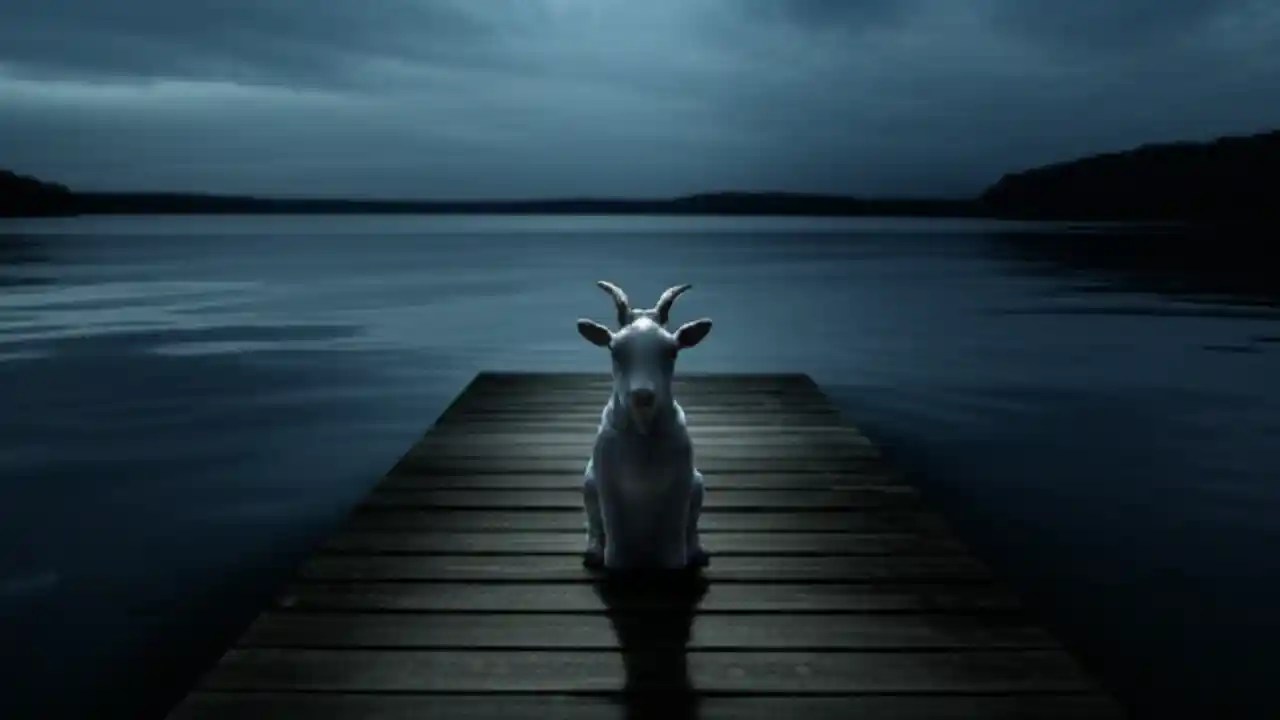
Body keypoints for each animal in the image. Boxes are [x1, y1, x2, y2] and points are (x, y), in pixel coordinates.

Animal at [577, 281, 713, 571]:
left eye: (672, 351)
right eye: (615, 351)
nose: (642, 395)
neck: (643, 433)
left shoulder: (681, 485)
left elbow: (676, 542)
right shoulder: (607, 486)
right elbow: (613, 539)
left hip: (698, 483)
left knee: (691, 527)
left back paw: (697, 552)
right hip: (588, 484)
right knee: (594, 523)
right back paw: (592, 553)